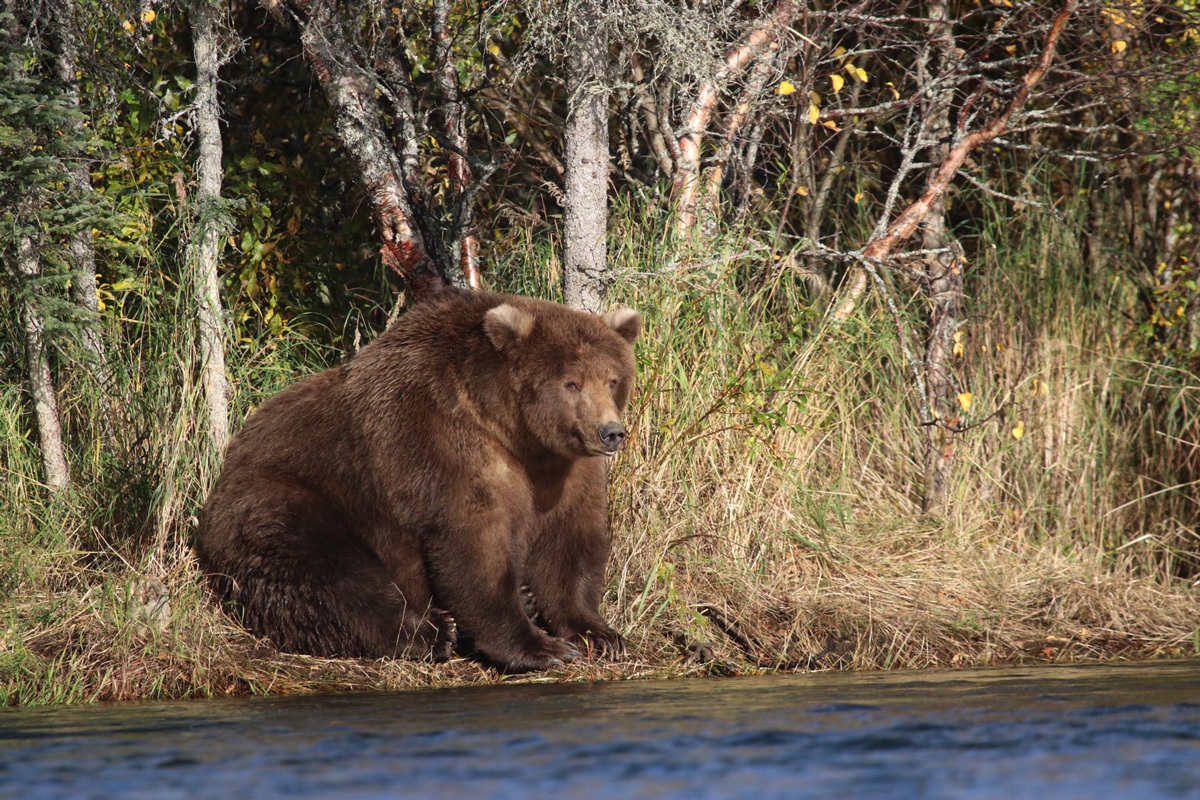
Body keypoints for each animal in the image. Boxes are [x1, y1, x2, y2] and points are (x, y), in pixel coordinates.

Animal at [195, 287, 641, 672]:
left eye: (613, 379)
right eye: (572, 383)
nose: (611, 433)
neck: (513, 432)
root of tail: (221, 477)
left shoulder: (563, 471)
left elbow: (570, 542)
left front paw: (600, 634)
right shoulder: (439, 442)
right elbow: (474, 545)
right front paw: (541, 646)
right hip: (286, 501)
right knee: (332, 575)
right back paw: (433, 631)